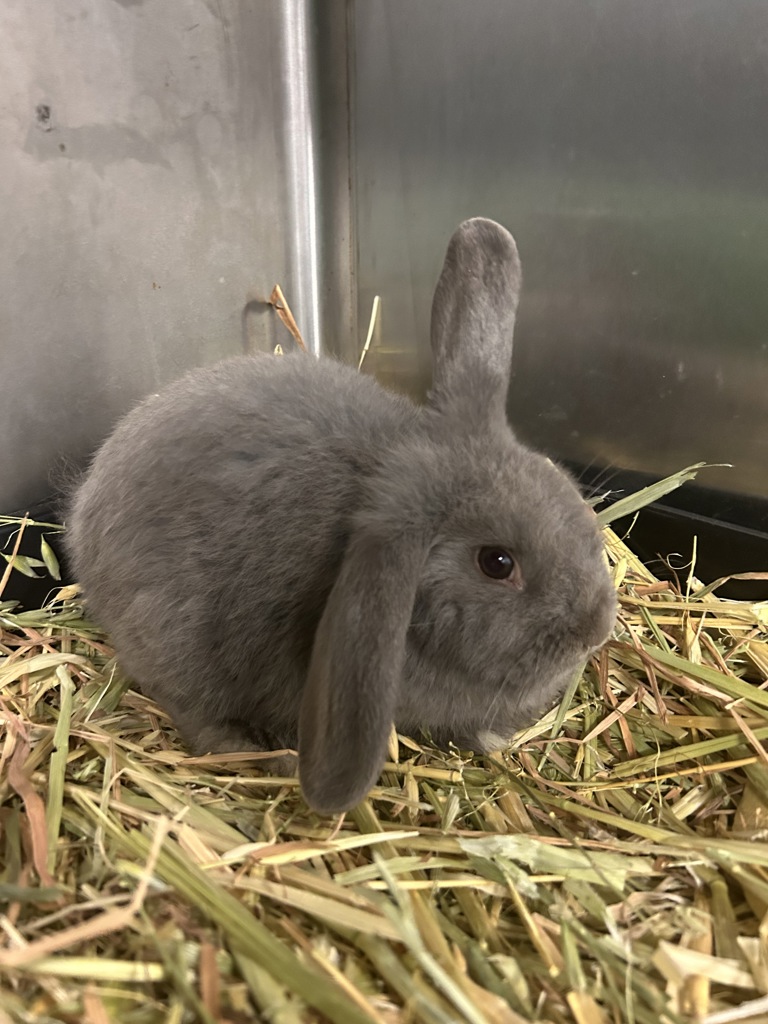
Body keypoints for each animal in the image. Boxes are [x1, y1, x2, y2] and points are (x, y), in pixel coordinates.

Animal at [66, 218, 617, 815]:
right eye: (497, 563)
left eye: (562, 488)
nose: (595, 629)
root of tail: (86, 514)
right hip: (175, 645)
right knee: (196, 714)